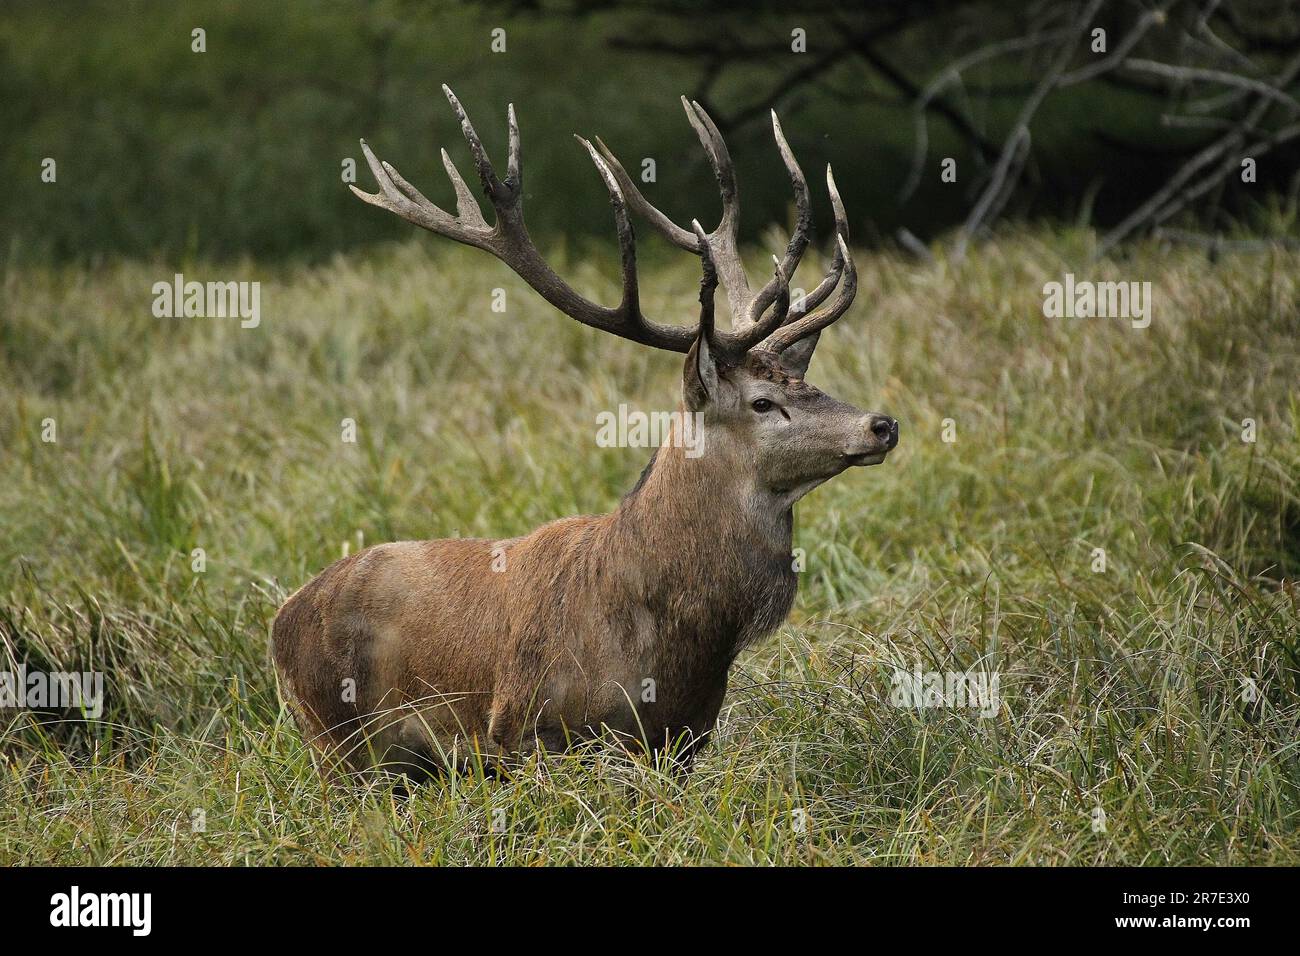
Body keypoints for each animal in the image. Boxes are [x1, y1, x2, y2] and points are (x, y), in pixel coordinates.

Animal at [271, 86, 899, 777]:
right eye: (763, 403)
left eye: (806, 382)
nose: (881, 424)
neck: (676, 650)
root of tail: (279, 619)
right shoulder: (527, 730)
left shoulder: (685, 741)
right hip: (342, 745)